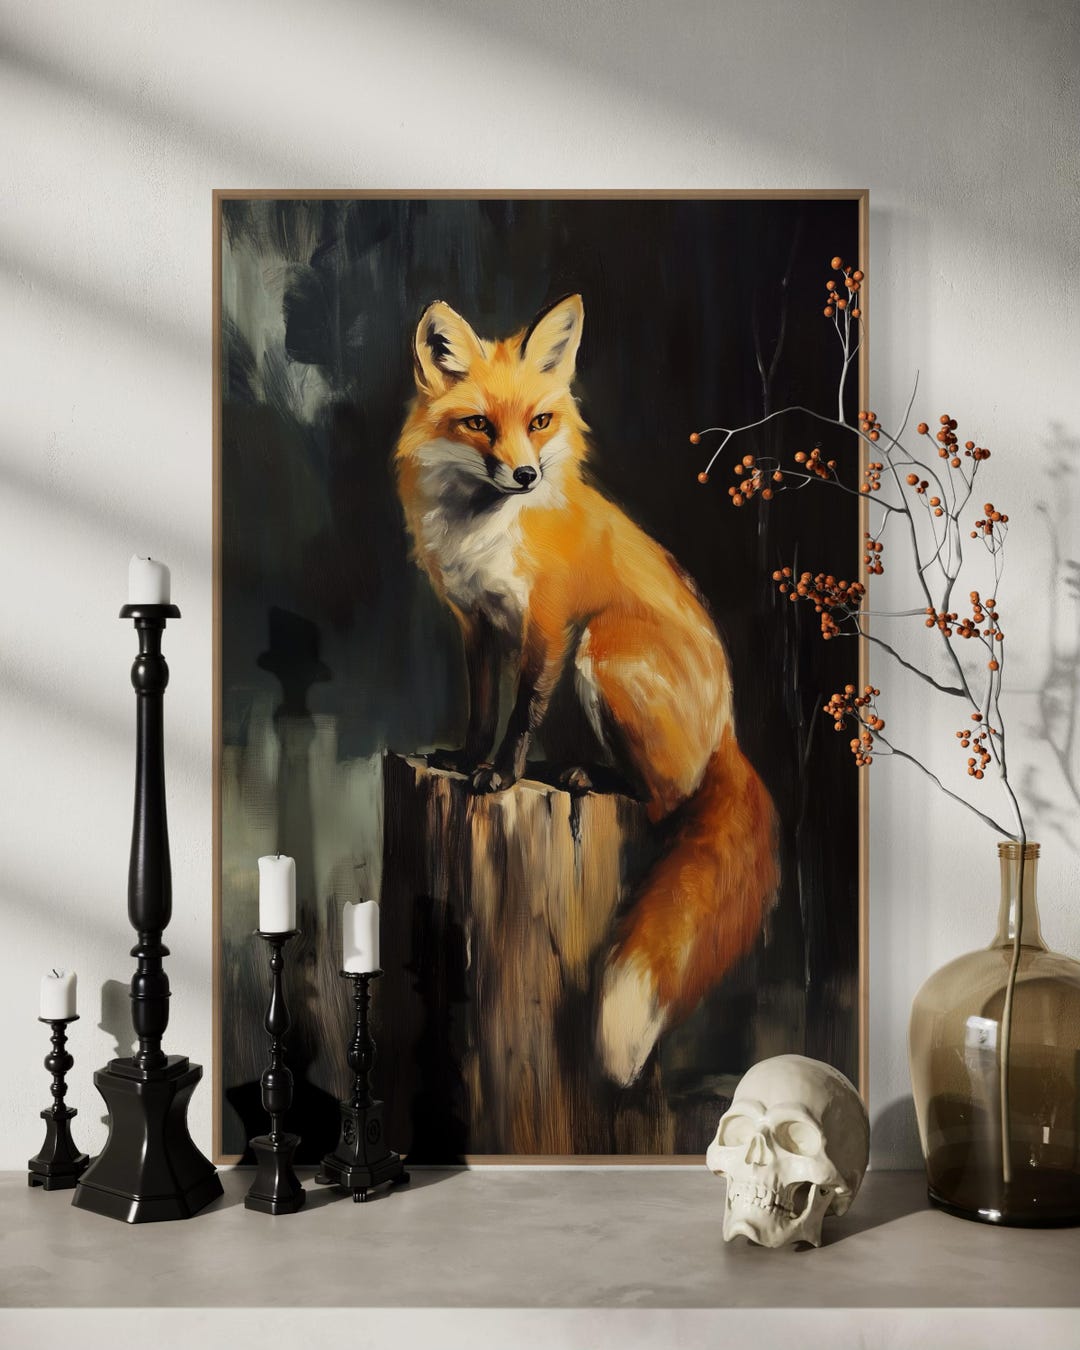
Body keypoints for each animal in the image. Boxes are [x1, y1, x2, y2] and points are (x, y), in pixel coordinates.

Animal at [394, 293, 779, 1087]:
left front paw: (501, 775)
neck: (482, 530)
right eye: (479, 423)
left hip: (604, 651)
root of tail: (728, 730)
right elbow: (482, 708)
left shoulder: (548, 625)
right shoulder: (476, 626)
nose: (524, 475)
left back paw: (584, 776)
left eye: (539, 421)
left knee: (667, 800)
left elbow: (523, 712)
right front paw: (465, 759)